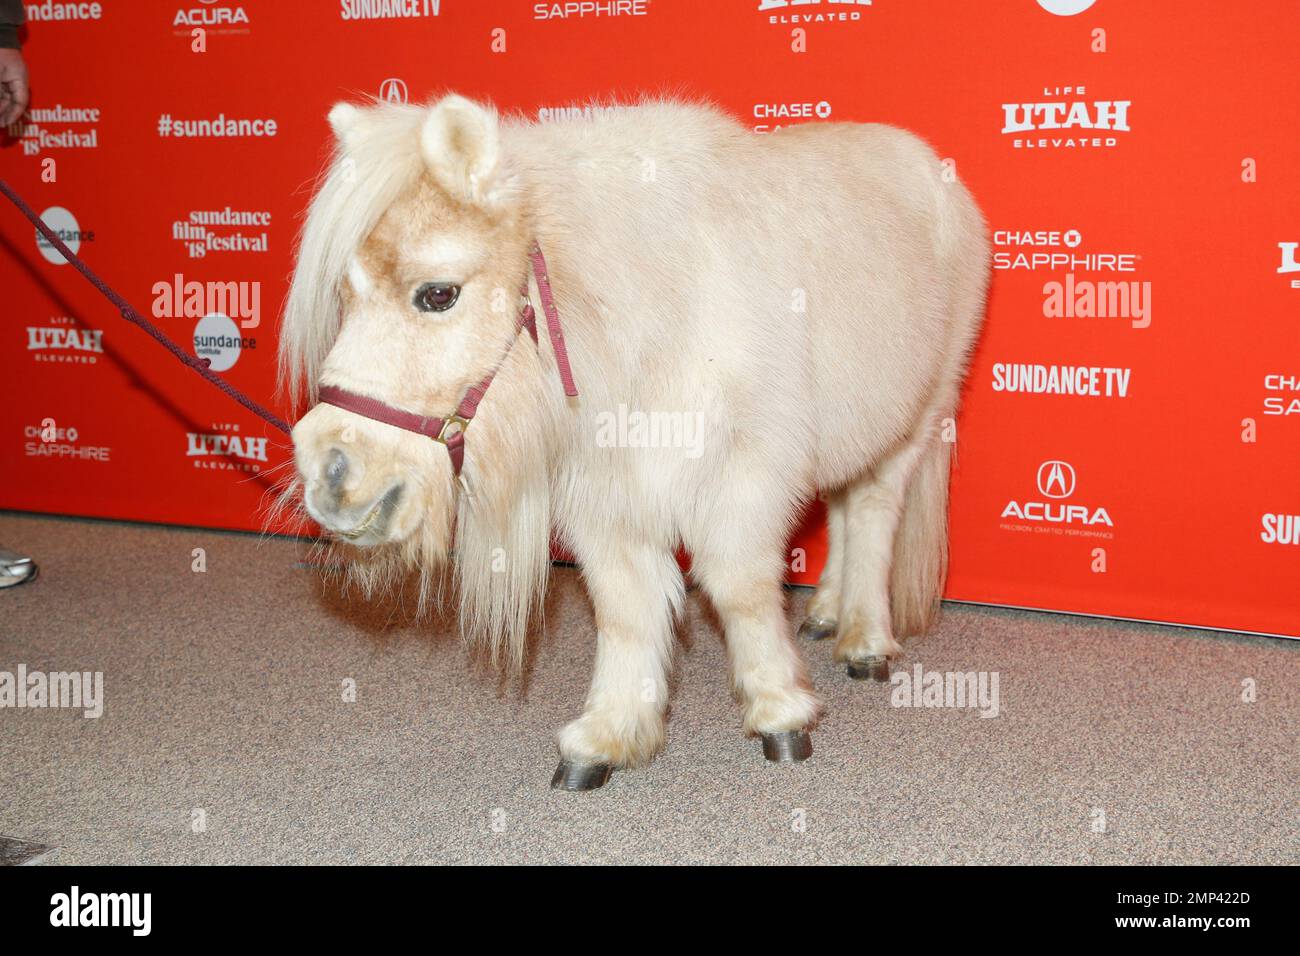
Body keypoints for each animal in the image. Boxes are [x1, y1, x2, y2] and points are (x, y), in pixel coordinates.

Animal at [280, 94, 990, 790]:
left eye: (437, 293)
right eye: (347, 294)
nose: (331, 472)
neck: (649, 309)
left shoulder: (743, 479)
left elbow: (739, 587)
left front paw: (780, 715)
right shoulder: (604, 492)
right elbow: (624, 607)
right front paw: (608, 735)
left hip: (921, 414)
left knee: (872, 513)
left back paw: (865, 641)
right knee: (844, 506)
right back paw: (825, 613)